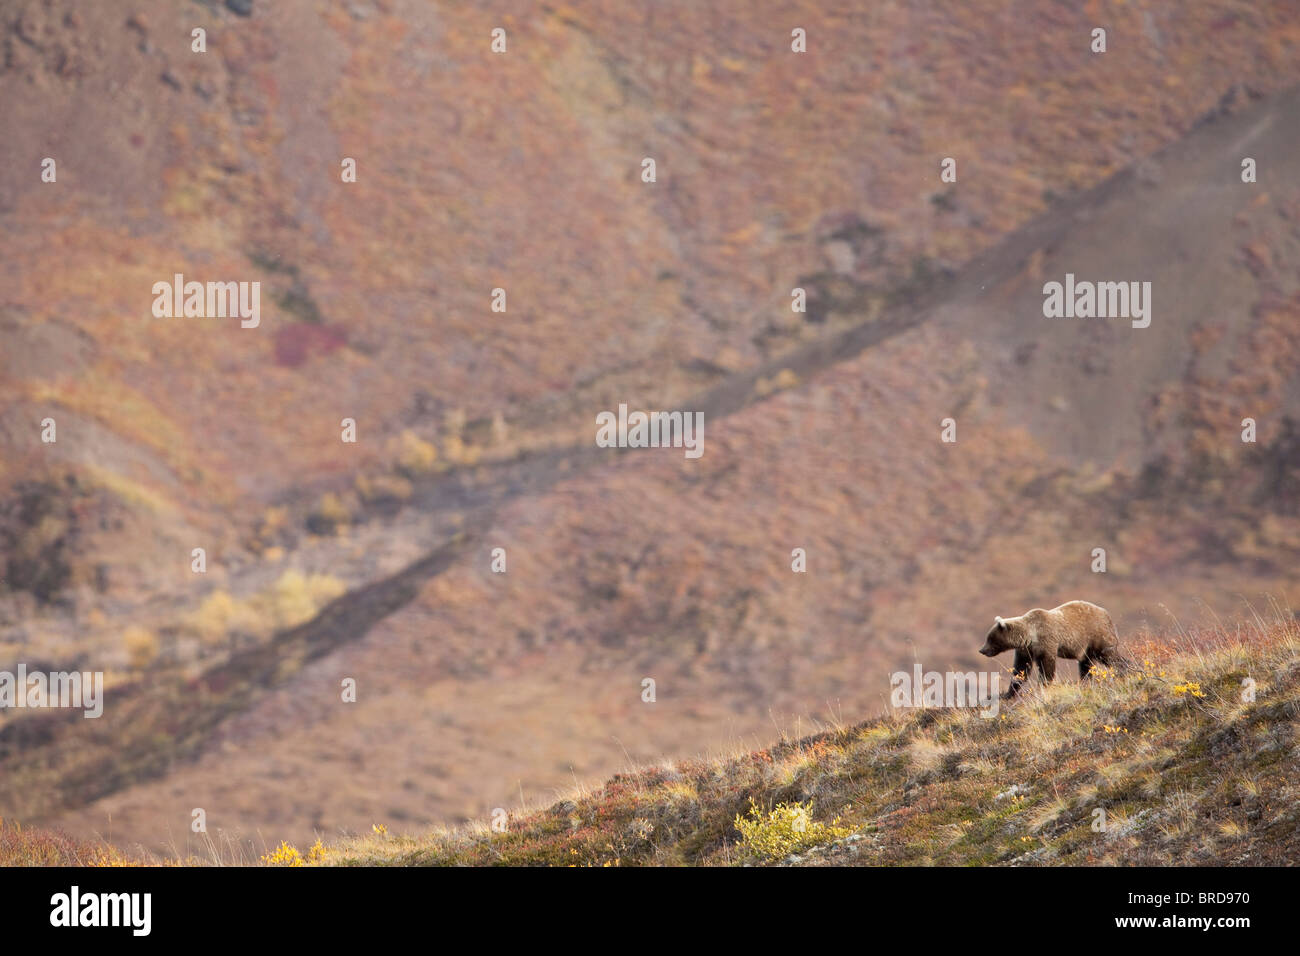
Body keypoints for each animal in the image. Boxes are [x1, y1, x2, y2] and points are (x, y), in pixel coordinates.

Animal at [978, 600, 1122, 699]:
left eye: (990, 638)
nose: (982, 650)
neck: (1030, 635)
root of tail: (1106, 613)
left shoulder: (1046, 642)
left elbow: (1047, 667)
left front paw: (1042, 686)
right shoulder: (1026, 649)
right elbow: (1021, 669)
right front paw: (1008, 693)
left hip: (1096, 635)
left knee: (1108, 656)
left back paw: (1123, 670)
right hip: (1085, 647)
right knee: (1086, 665)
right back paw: (1085, 681)